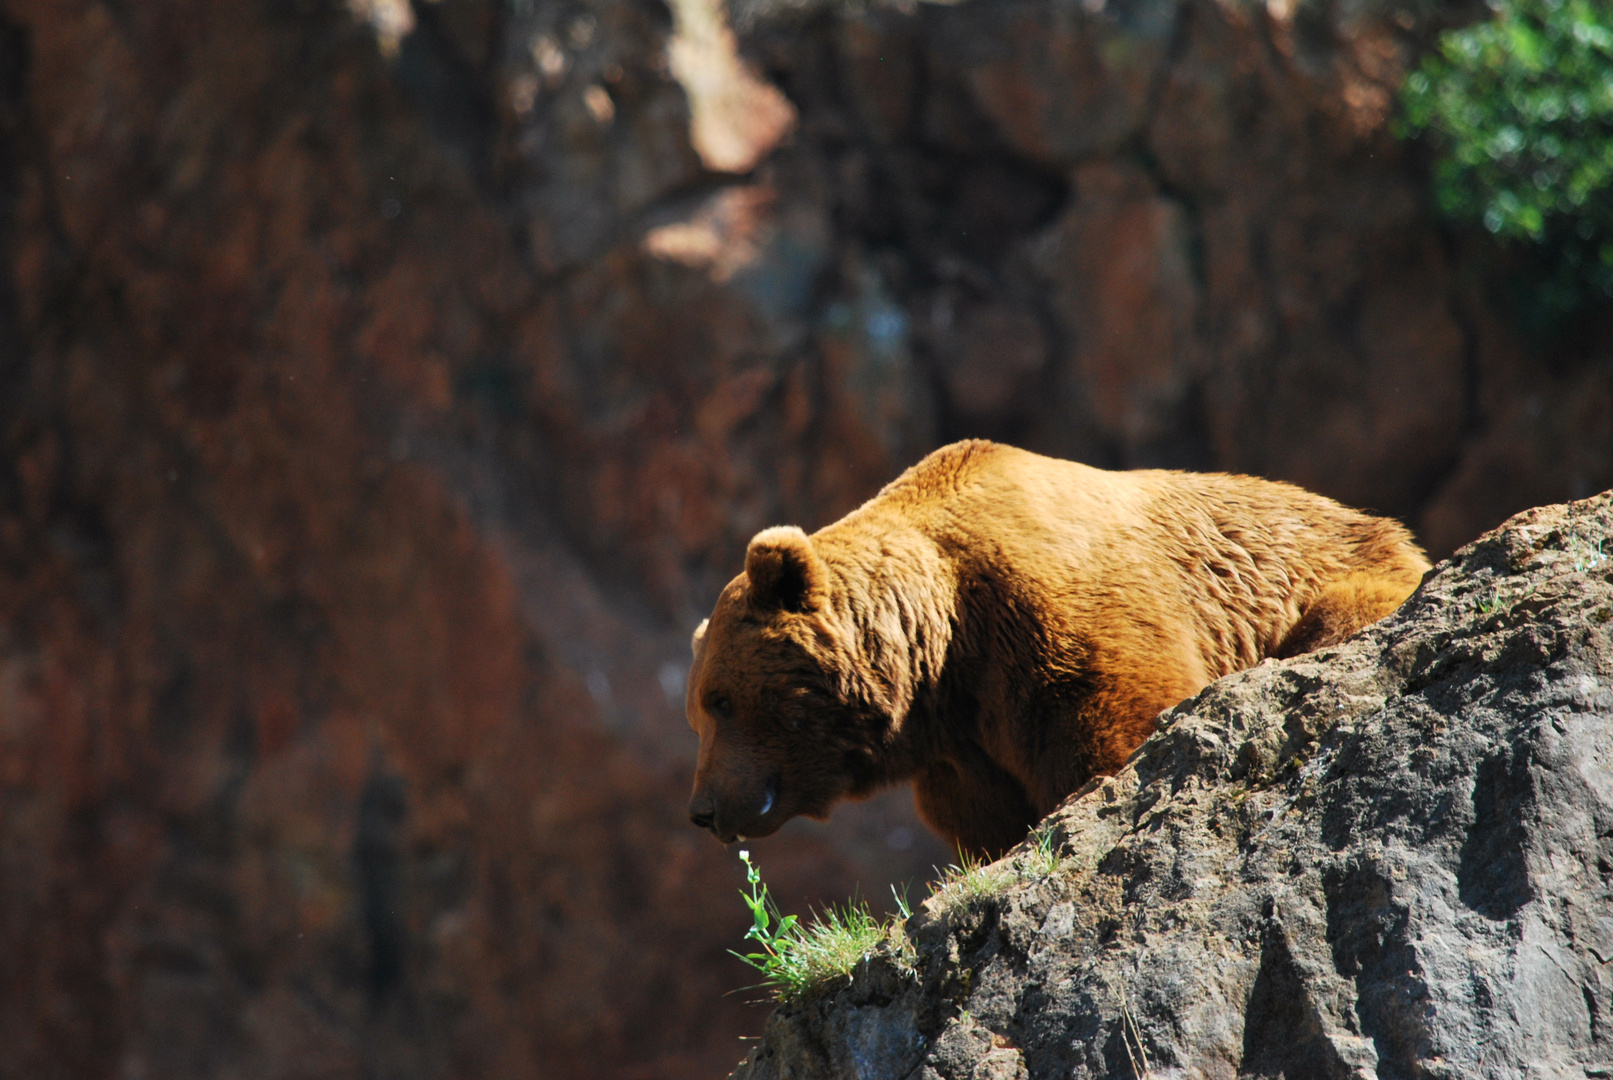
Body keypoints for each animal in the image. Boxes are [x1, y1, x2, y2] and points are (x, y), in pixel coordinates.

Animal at [680, 441, 1425, 864]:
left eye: (722, 700)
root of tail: (1398, 531)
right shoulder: (963, 749)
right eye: (699, 711)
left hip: (1345, 576)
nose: (703, 810)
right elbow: (986, 823)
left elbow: (1114, 724)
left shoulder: (1055, 617)